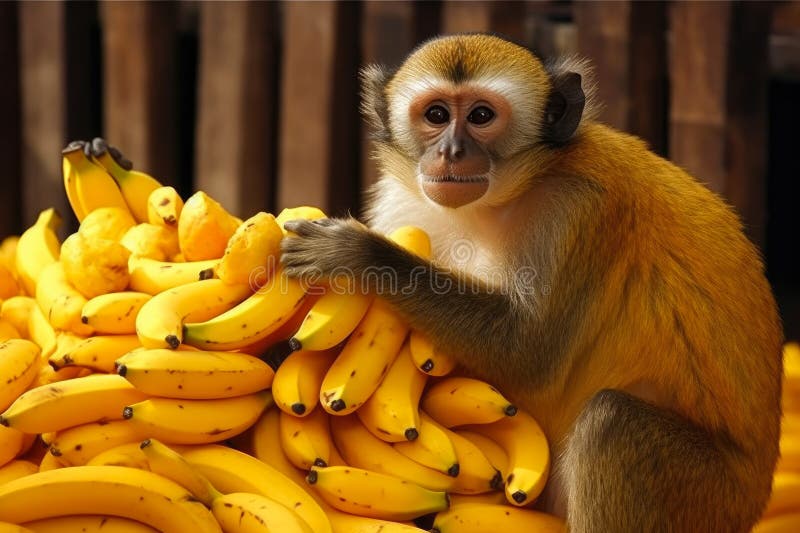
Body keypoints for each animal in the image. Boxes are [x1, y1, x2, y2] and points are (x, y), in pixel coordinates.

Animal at [281, 33, 783, 532]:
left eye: (481, 116)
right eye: (436, 115)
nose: (451, 152)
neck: (496, 202)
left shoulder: (577, 209)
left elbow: (531, 354)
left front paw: (356, 255)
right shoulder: (401, 200)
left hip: (708, 497)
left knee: (611, 421)